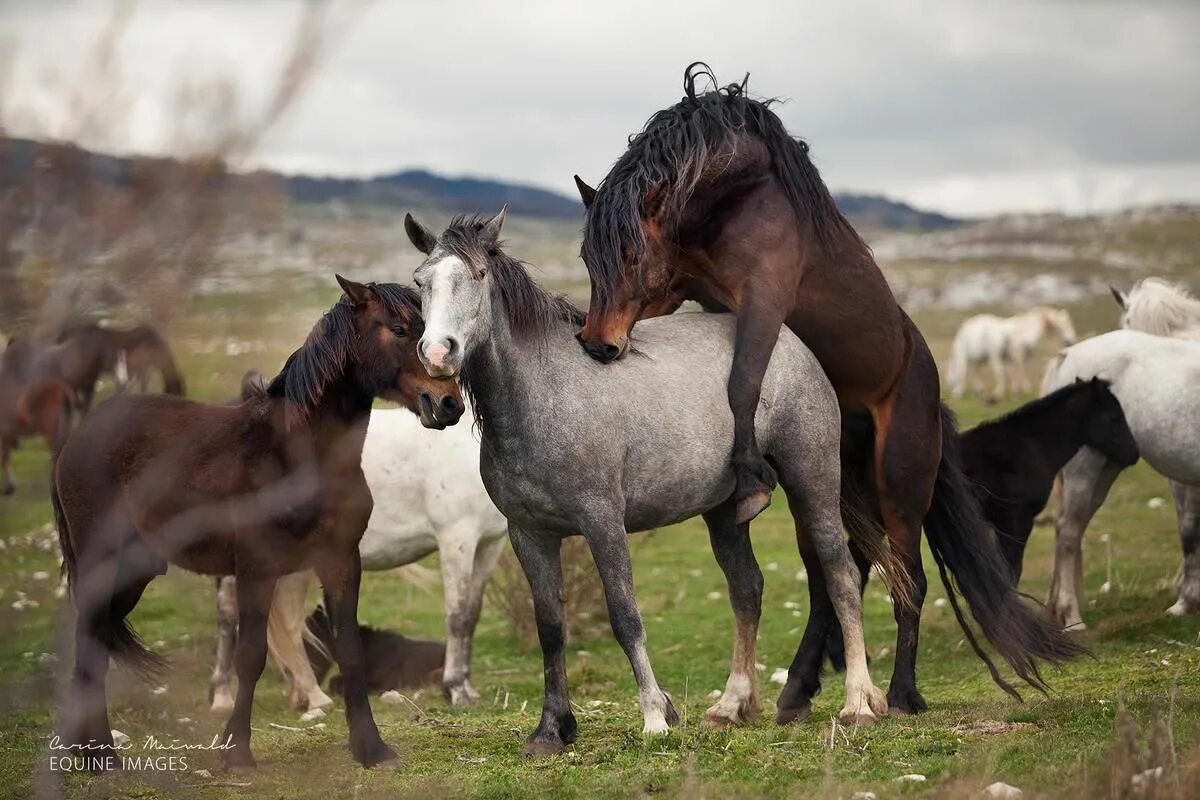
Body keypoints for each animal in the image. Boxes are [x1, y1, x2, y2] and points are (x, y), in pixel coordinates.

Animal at [51, 278, 463, 772]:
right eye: (400, 329)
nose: (447, 403)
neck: (296, 454)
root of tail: (78, 438)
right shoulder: (255, 567)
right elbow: (250, 655)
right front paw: (237, 755)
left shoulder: (341, 561)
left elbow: (350, 651)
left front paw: (372, 749)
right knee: (89, 640)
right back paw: (99, 755)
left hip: (135, 572)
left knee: (95, 640)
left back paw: (94, 753)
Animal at [211, 407, 501, 714]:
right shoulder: (456, 538)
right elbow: (457, 616)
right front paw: (455, 690)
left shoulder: (488, 546)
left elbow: (471, 616)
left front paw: (467, 690)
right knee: (229, 615)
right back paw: (222, 698)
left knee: (288, 617)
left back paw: (310, 696)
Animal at [945, 307, 1080, 400]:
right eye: (1062, 325)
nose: (1071, 341)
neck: (1024, 330)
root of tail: (965, 326)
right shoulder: (1015, 354)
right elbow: (1017, 370)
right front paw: (1022, 390)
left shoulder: (1012, 357)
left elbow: (1013, 372)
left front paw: (1018, 390)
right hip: (978, 356)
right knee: (969, 371)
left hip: (981, 358)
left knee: (974, 371)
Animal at [1041, 278, 1200, 628]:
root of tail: (1069, 354)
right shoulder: (1183, 479)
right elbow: (1189, 534)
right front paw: (1185, 603)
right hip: (1084, 470)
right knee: (1068, 531)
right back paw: (1072, 619)